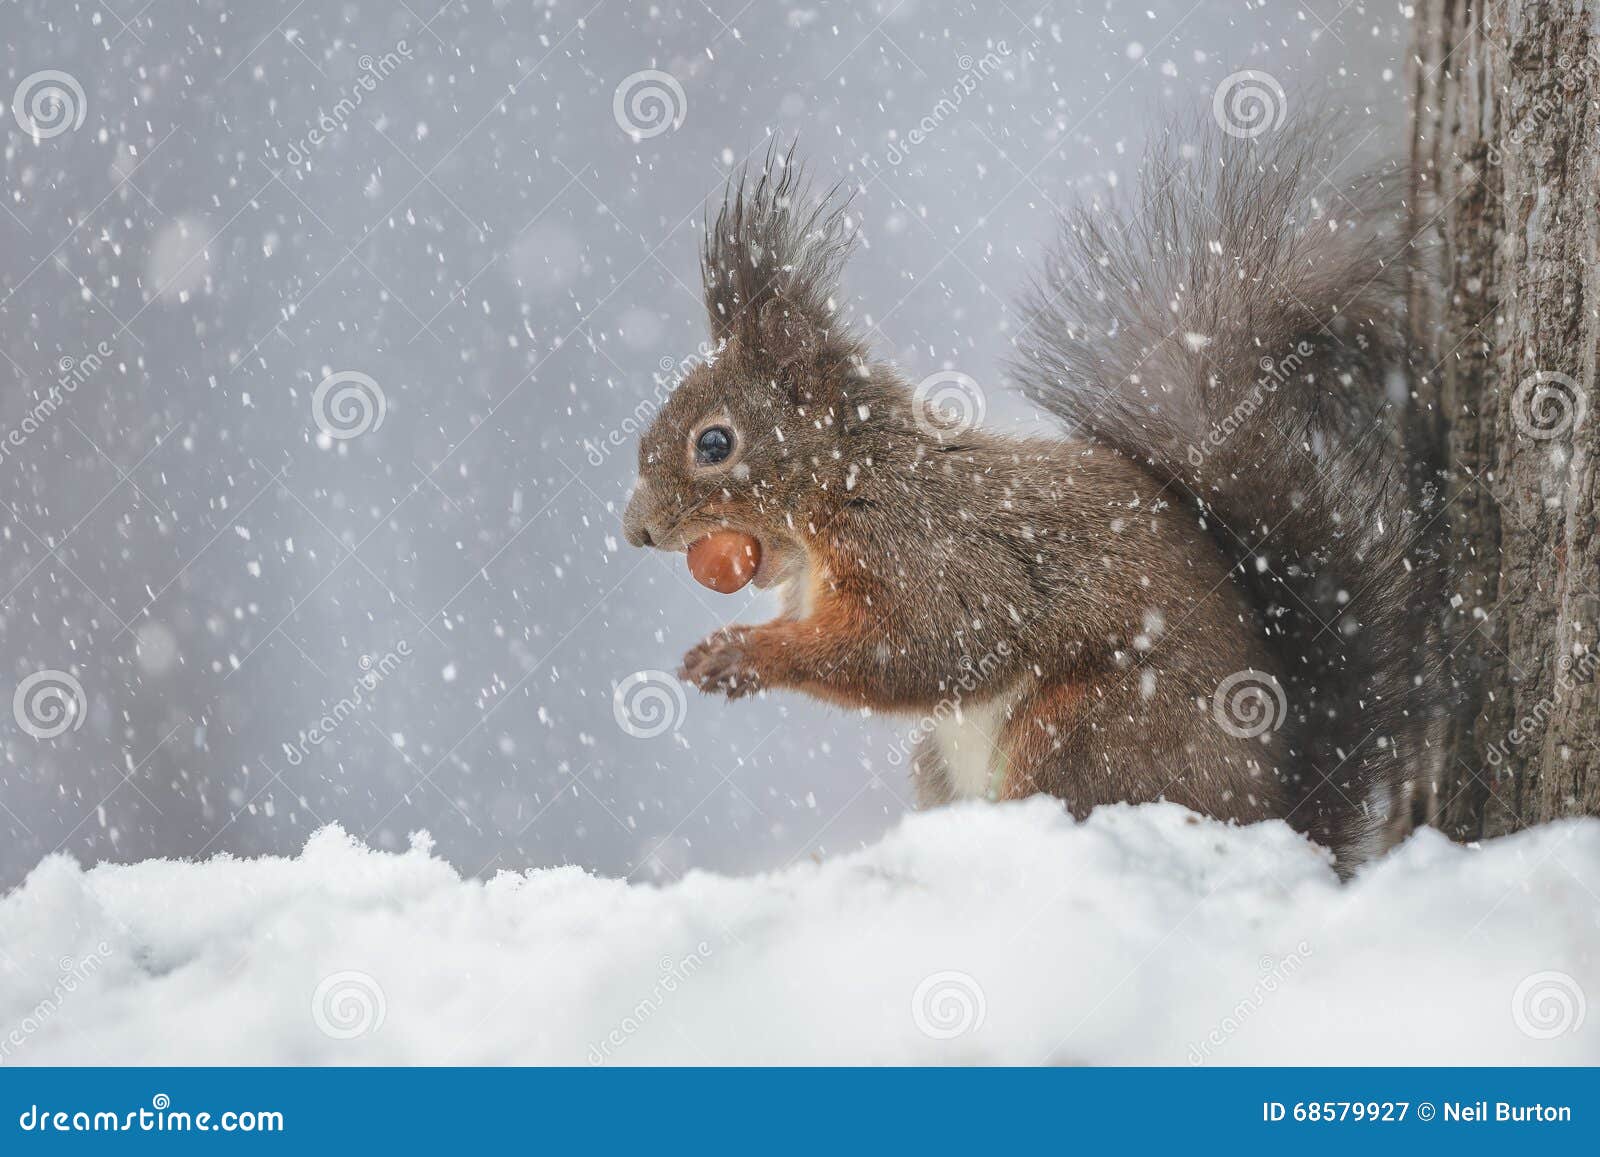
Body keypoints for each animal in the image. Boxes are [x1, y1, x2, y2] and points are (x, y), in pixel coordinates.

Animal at [622, 126, 1441, 872]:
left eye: (714, 444)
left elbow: (919, 647)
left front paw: (743, 655)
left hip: (1090, 729)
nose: (635, 532)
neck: (850, 480)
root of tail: (1276, 820)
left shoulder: (930, 550)